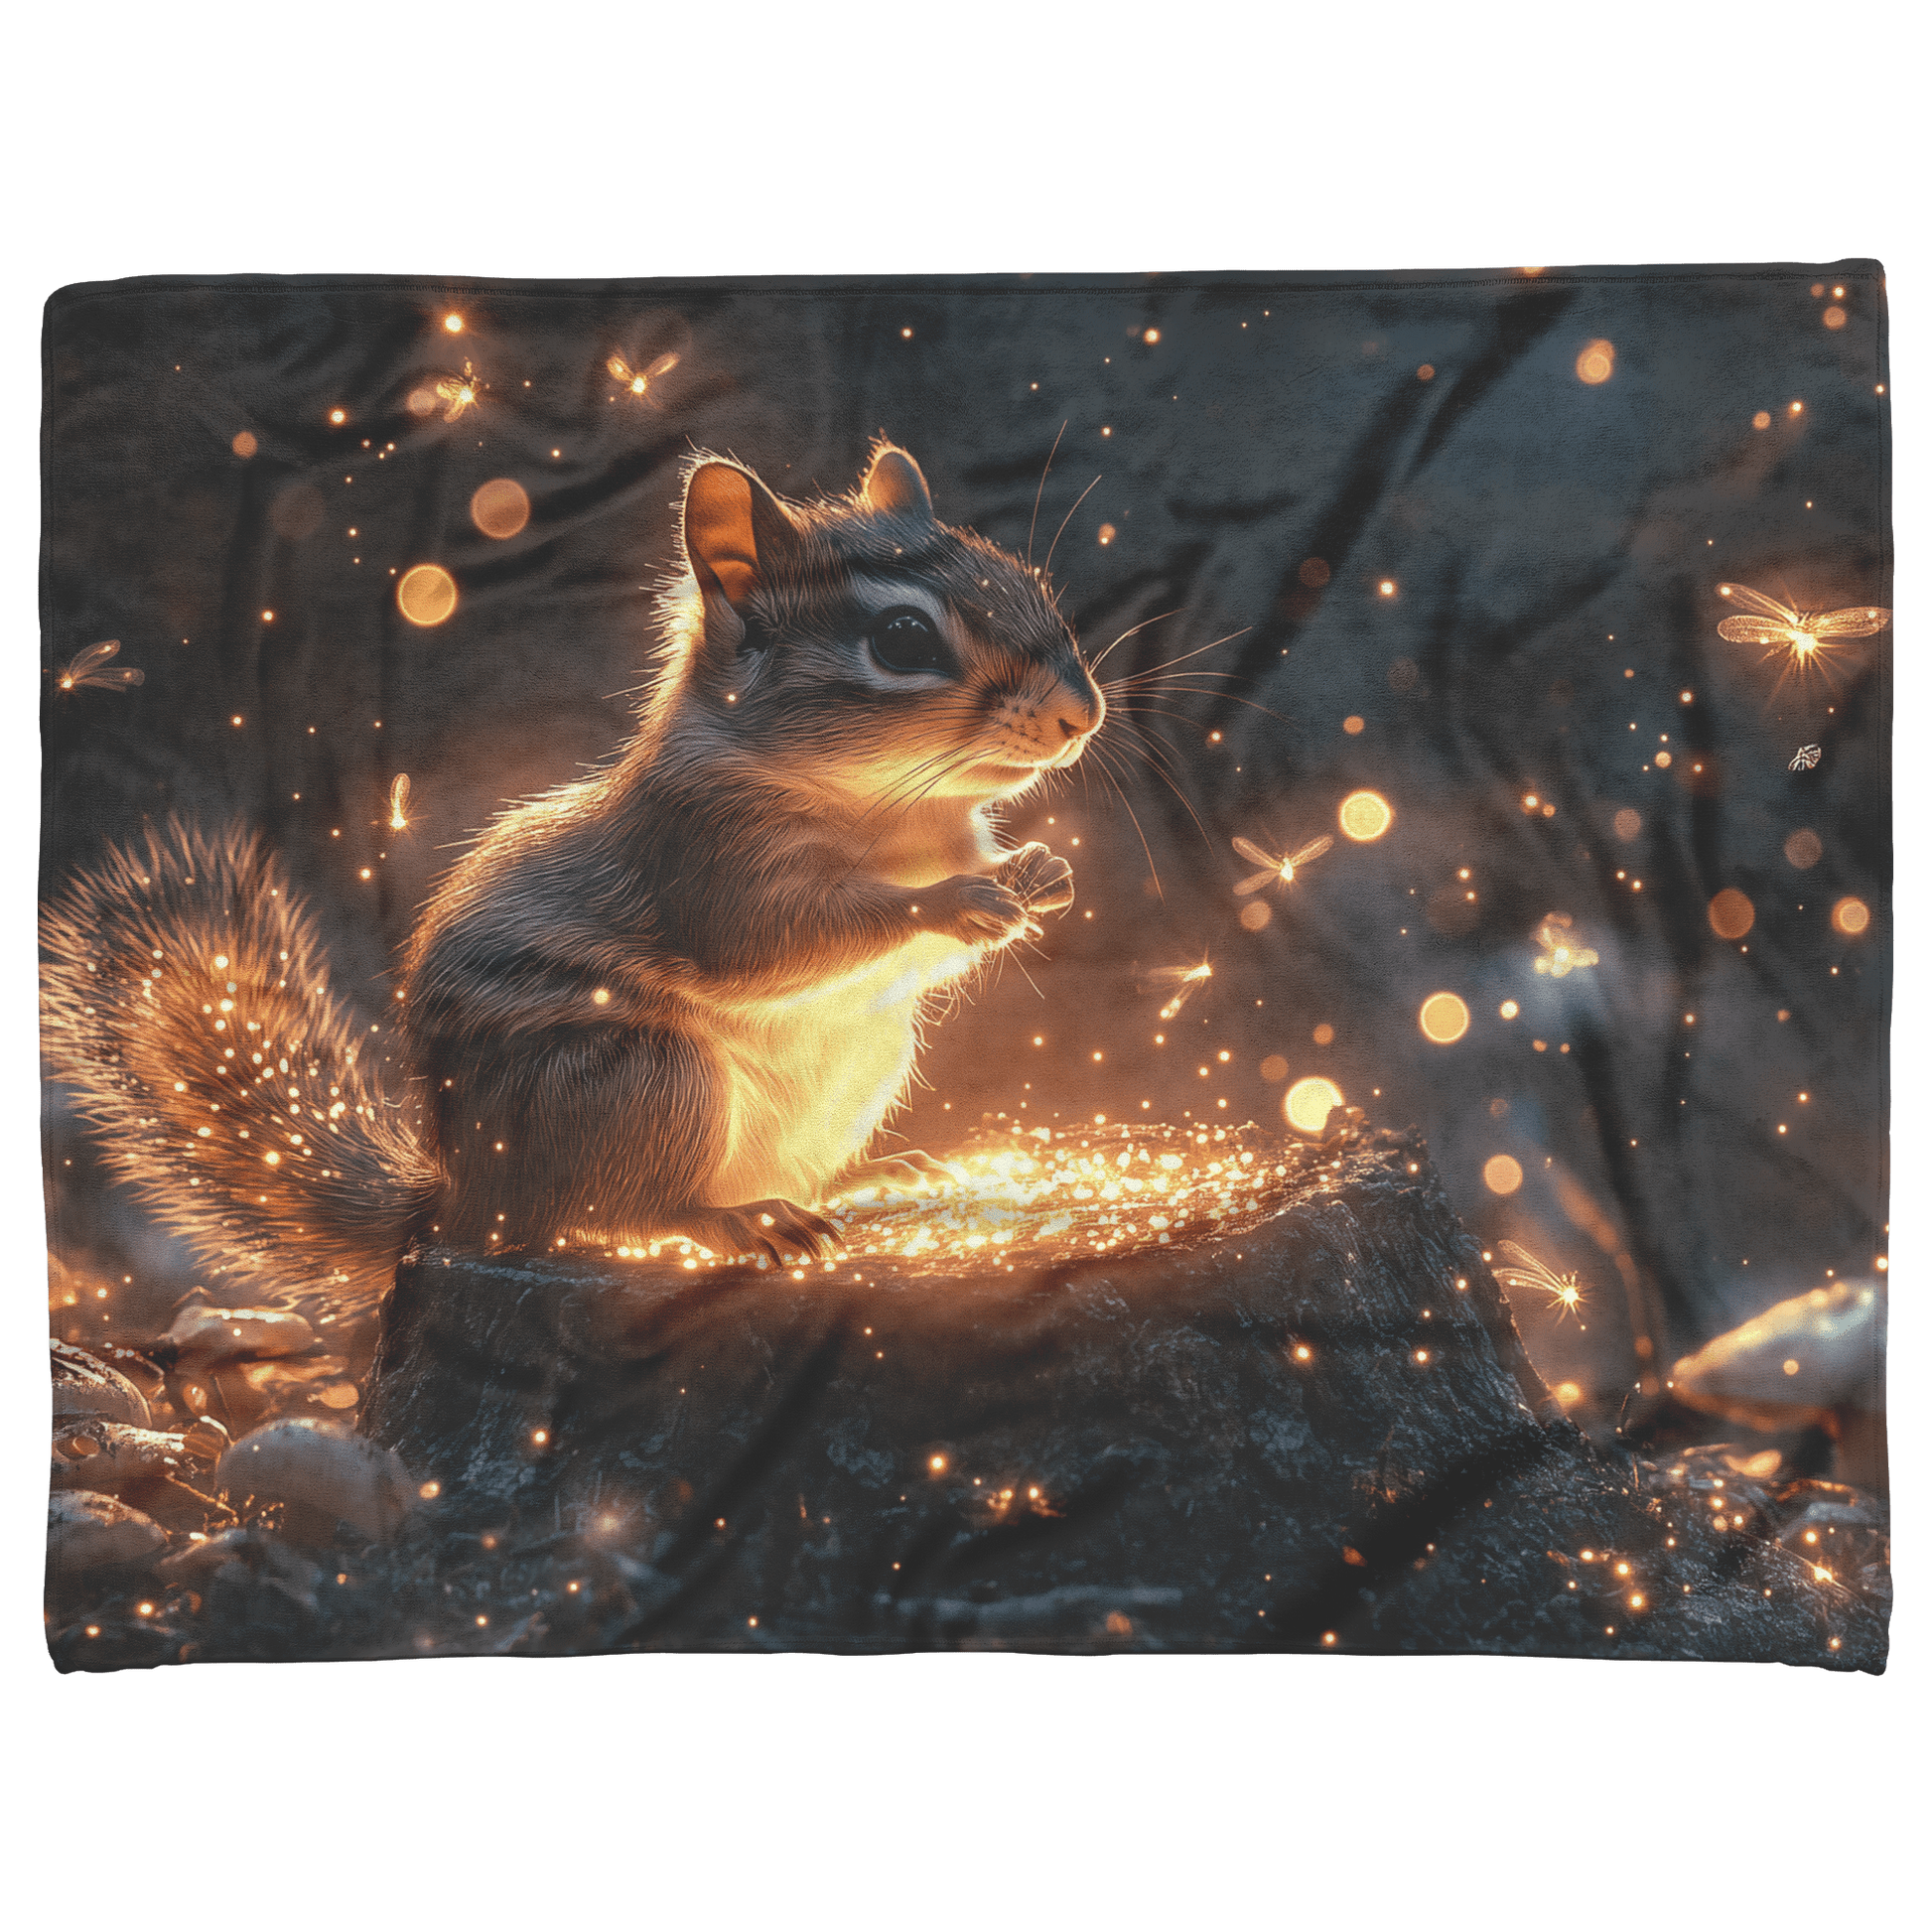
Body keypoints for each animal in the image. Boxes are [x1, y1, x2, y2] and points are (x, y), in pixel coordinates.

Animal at [41, 443, 1104, 1303]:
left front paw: (1041, 871)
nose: (1081, 714)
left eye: (1026, 578)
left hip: (858, 1065)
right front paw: (956, 899)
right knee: (615, 1215)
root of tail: (460, 1202)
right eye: (903, 641)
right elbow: (777, 945)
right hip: (641, 1079)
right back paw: (733, 1217)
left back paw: (860, 1180)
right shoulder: (700, 861)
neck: (892, 811)